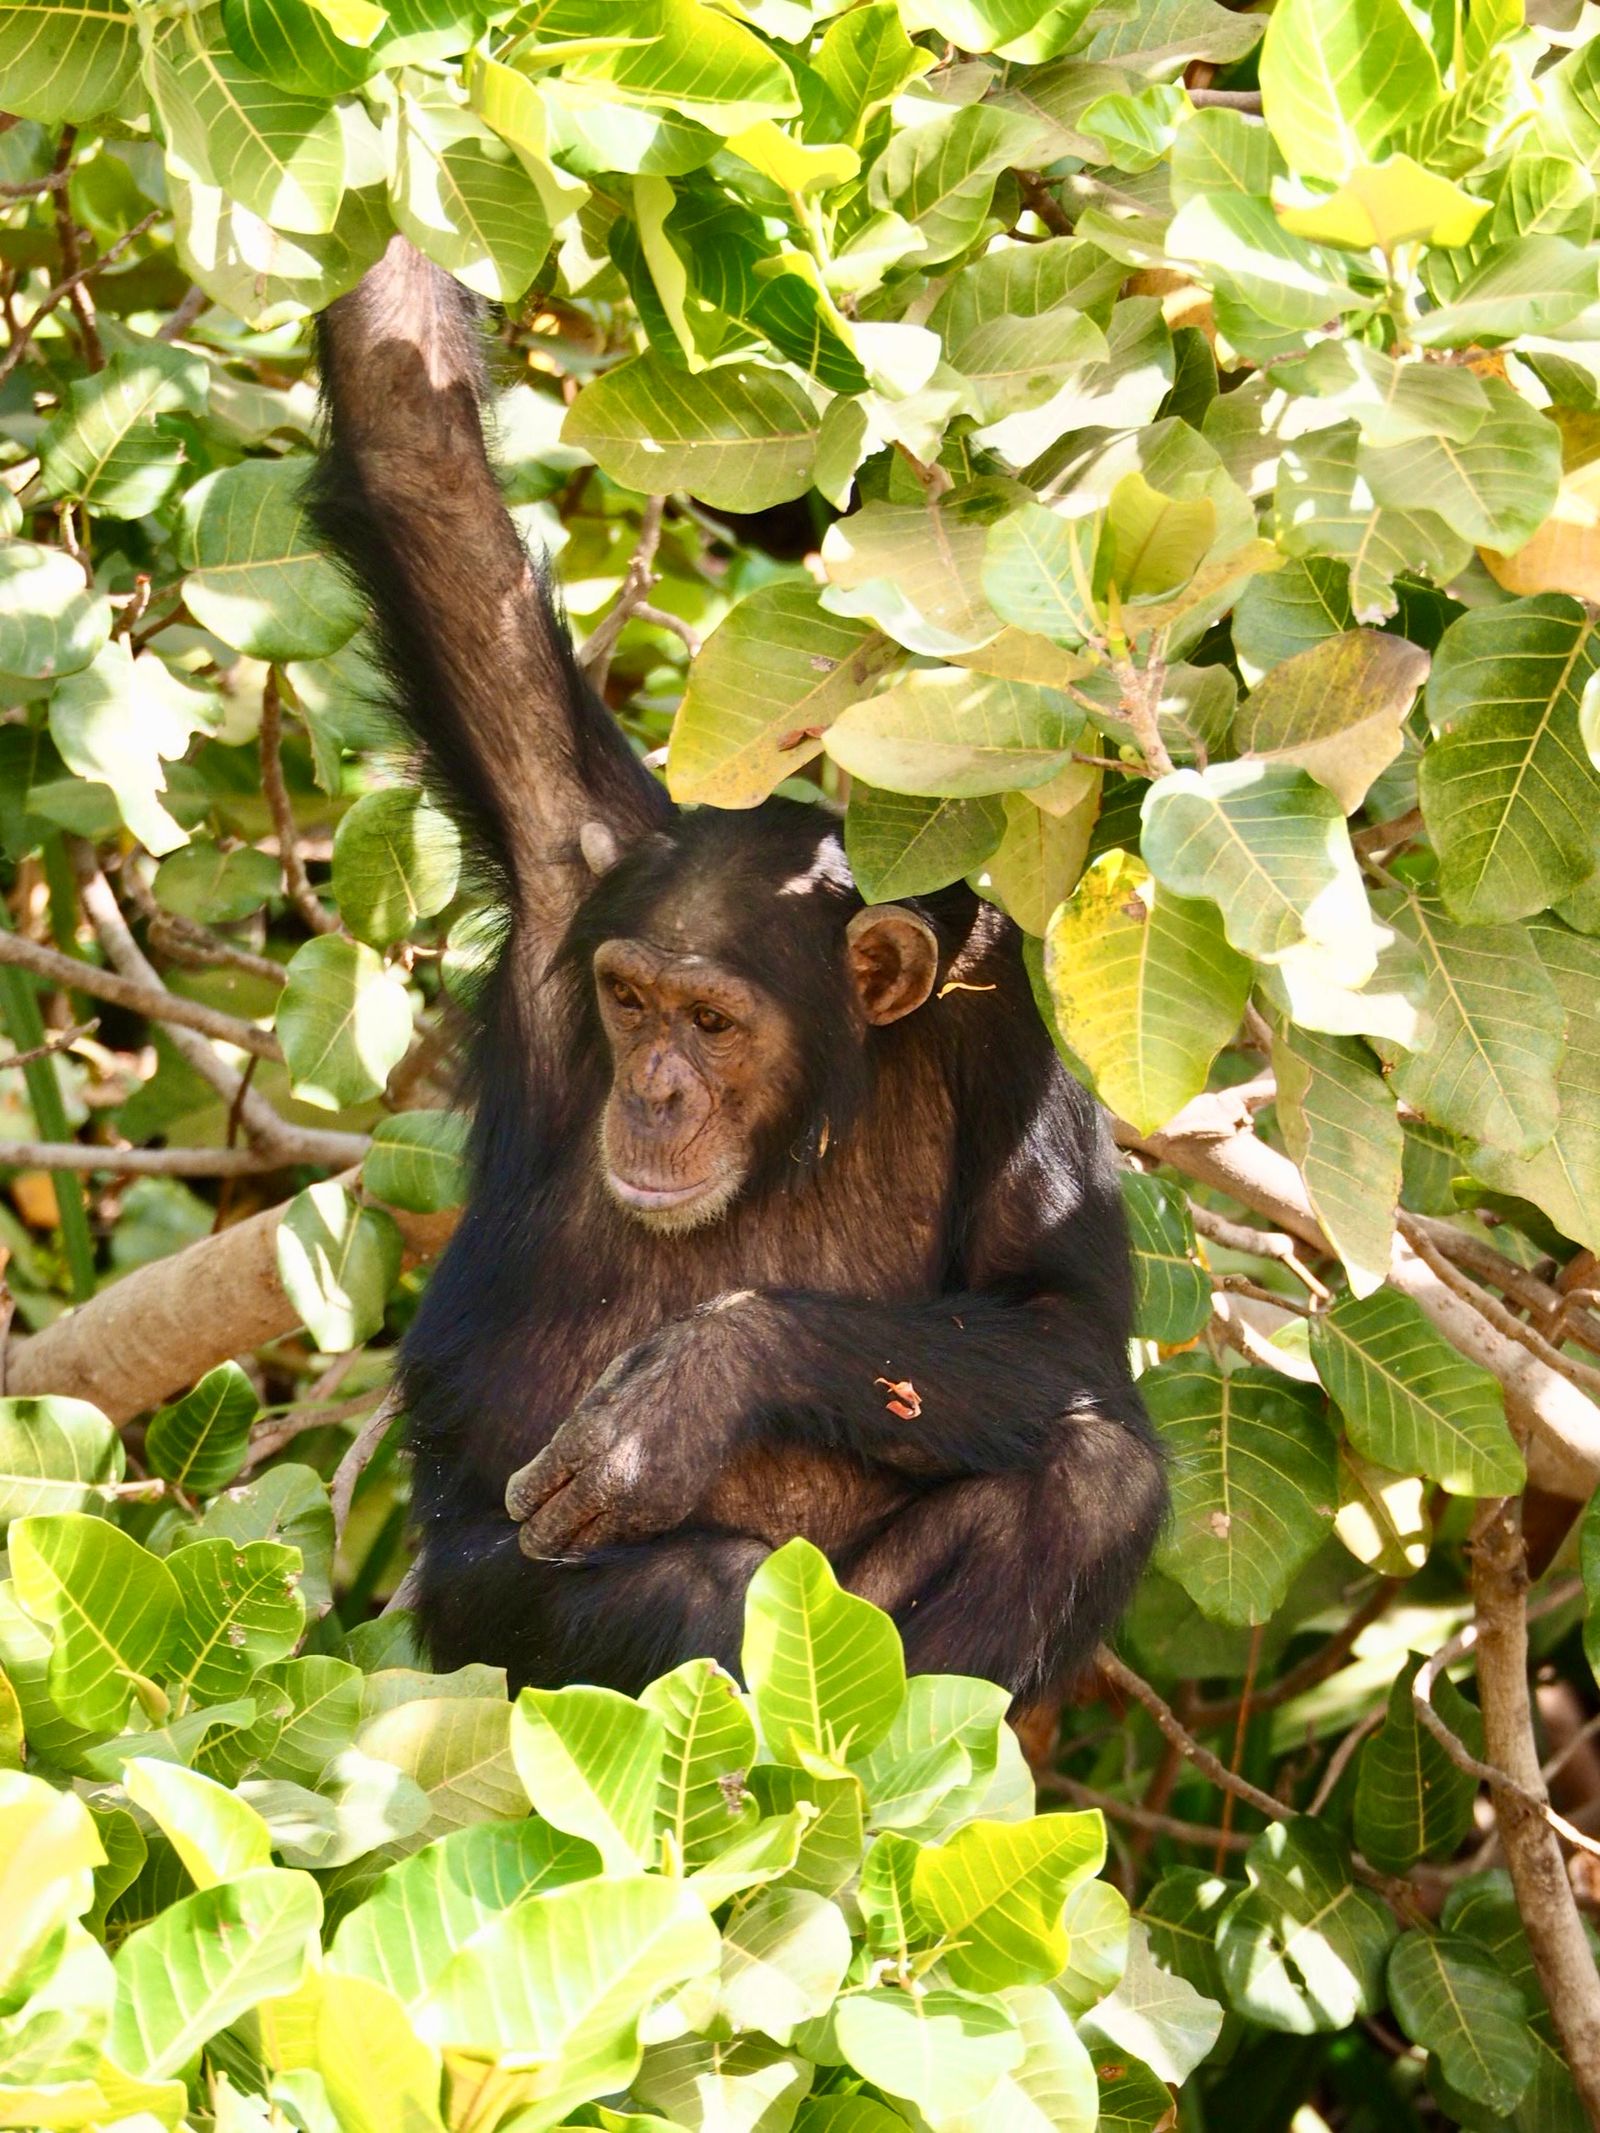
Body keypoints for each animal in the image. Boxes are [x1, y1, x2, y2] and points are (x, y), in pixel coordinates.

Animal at [310, 237, 1166, 1702]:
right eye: (627, 1001)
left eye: (712, 1022)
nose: (653, 1091)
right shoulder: (567, 856)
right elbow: (410, 441)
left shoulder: (1014, 1030)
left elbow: (1067, 1321)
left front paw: (695, 1388)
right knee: (696, 1596)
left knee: (1095, 1474)